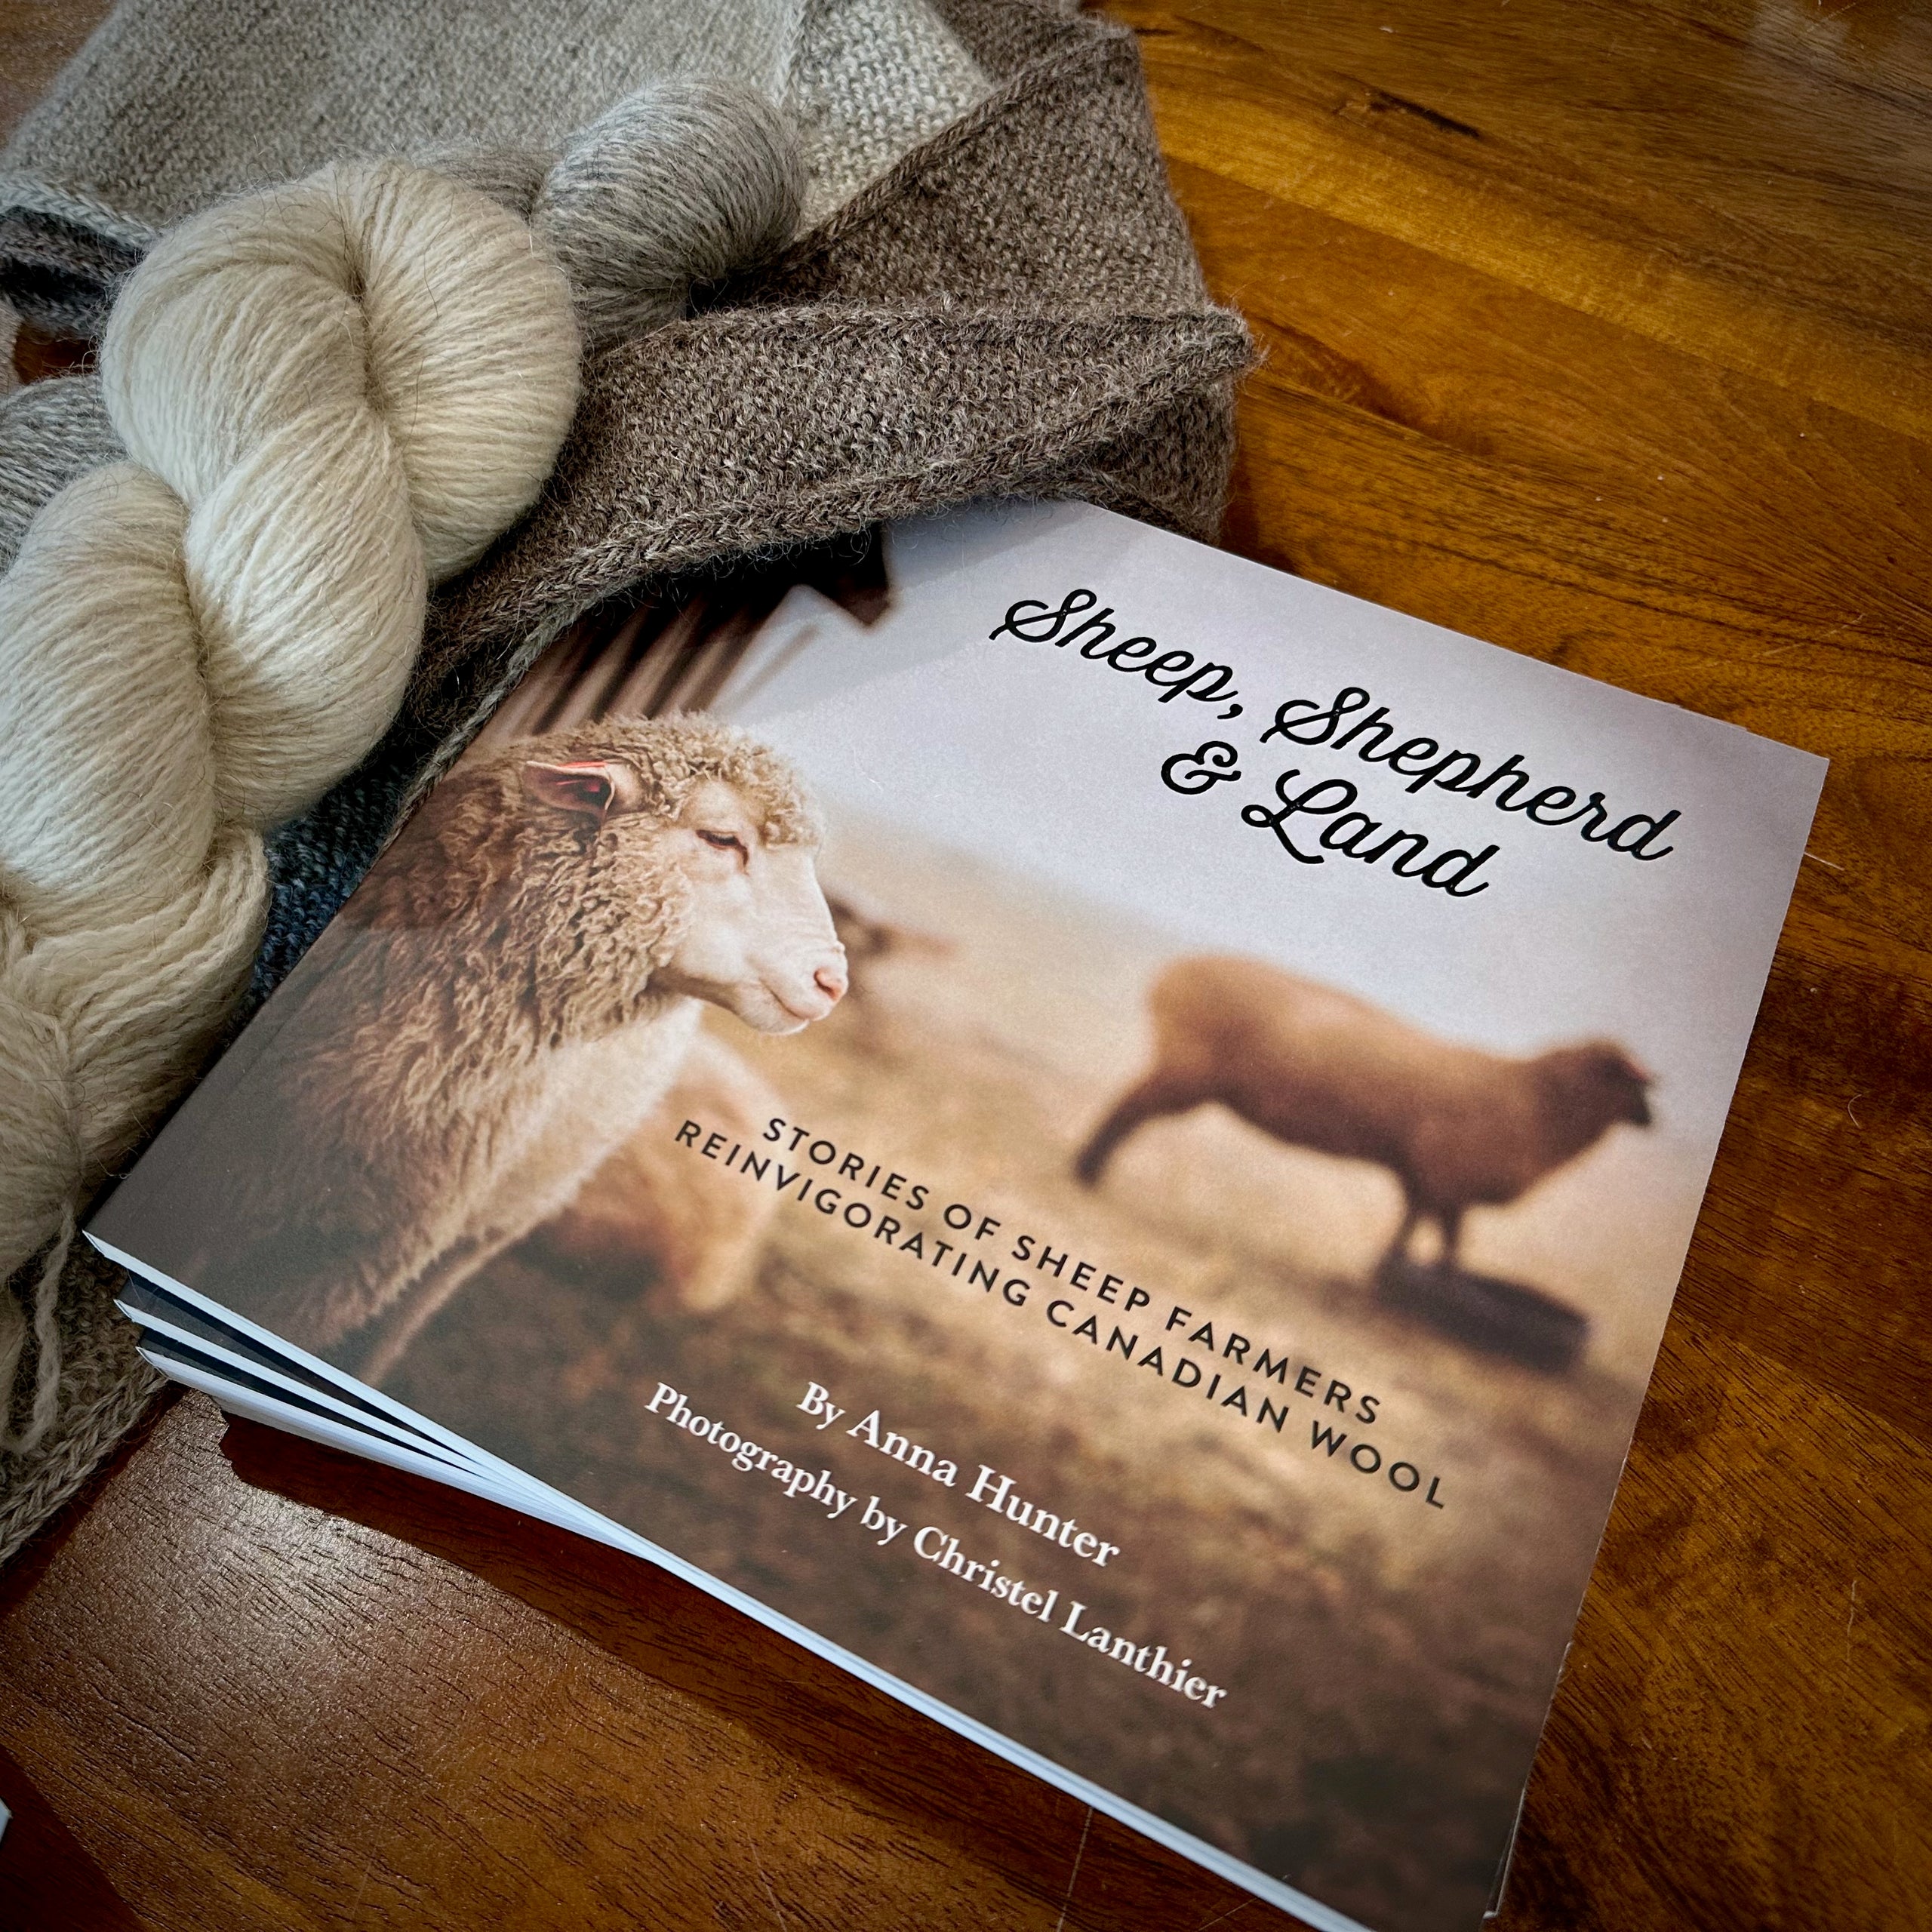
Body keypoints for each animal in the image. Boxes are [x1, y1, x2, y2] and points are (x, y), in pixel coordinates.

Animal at [1075, 955, 1651, 1276]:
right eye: (1626, 1079)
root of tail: (1173, 974)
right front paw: (1431, 1286)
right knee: (1127, 1111)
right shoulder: (1448, 1179)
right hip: (1186, 1070)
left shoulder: (1421, 1174)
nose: (1651, 1119)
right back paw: (1087, 1171)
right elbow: (1447, 1242)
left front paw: (1390, 1267)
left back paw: (1090, 1170)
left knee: (1129, 1111)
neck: (1536, 1101)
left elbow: (1413, 1223)